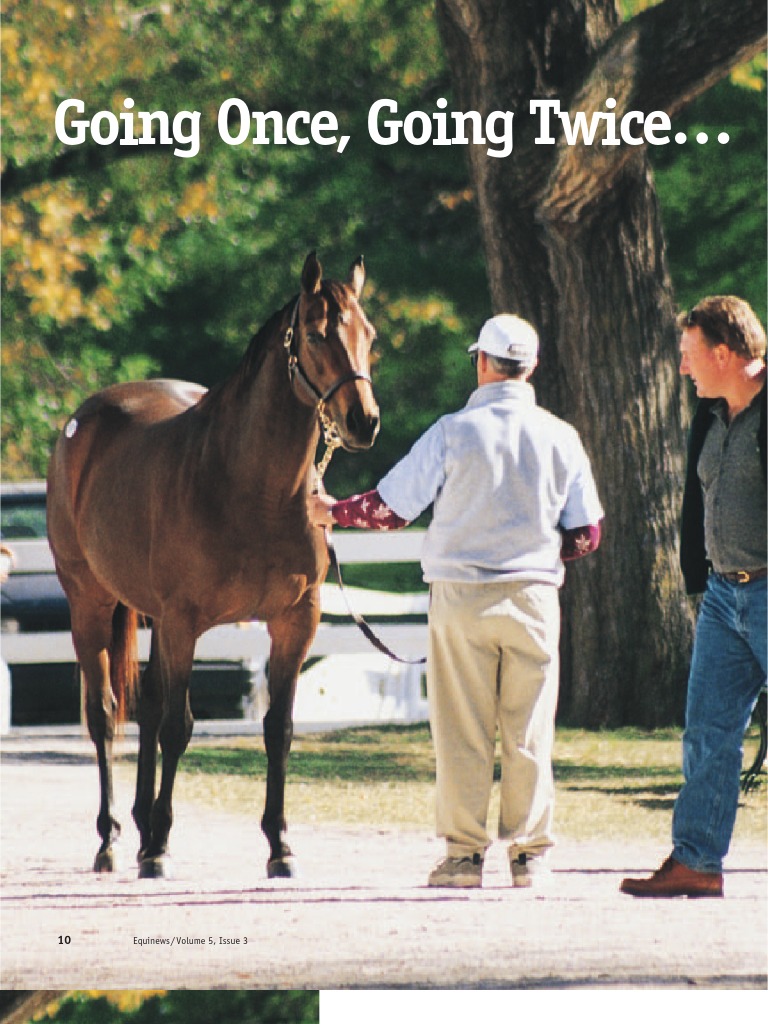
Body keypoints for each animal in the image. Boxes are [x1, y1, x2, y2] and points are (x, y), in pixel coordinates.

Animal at [46, 252, 380, 879]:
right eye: (316, 334)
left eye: (368, 335)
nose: (363, 422)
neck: (253, 489)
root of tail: (83, 421)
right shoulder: (185, 622)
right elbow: (179, 728)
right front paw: (157, 849)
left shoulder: (295, 622)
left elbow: (278, 729)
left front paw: (279, 846)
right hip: (91, 603)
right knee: (104, 715)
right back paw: (113, 839)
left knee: (147, 708)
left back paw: (142, 825)